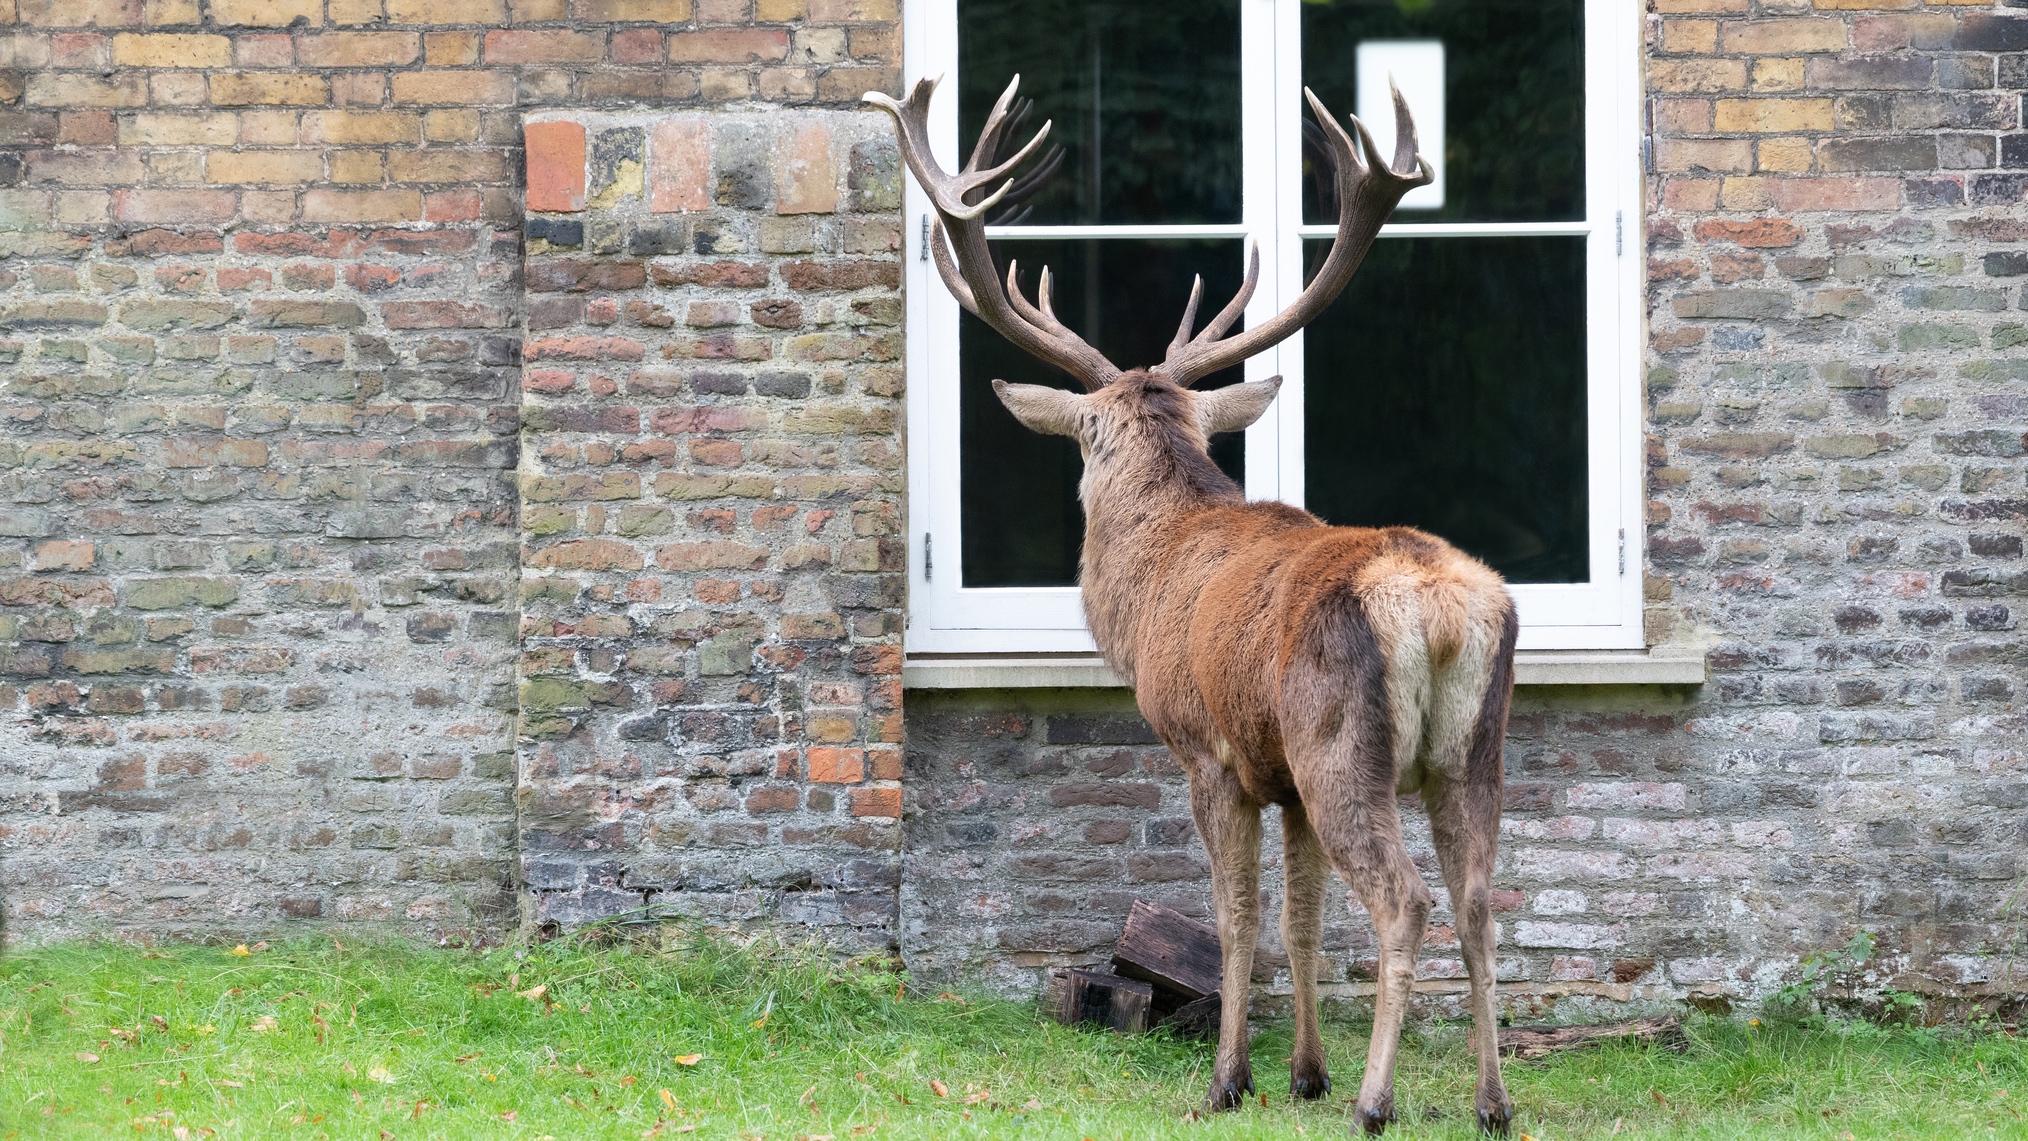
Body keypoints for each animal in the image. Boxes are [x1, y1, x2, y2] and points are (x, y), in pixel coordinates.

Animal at [866, 75, 1520, 1136]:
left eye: (1083, 443)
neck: (1151, 580)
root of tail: (1439, 613)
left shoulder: (1208, 746)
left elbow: (1235, 916)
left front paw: (1231, 1078)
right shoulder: (1279, 772)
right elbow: (1300, 918)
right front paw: (1303, 1072)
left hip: (1343, 742)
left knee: (1406, 899)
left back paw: (1377, 1100)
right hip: (1477, 747)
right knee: (1477, 900)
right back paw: (1493, 1101)